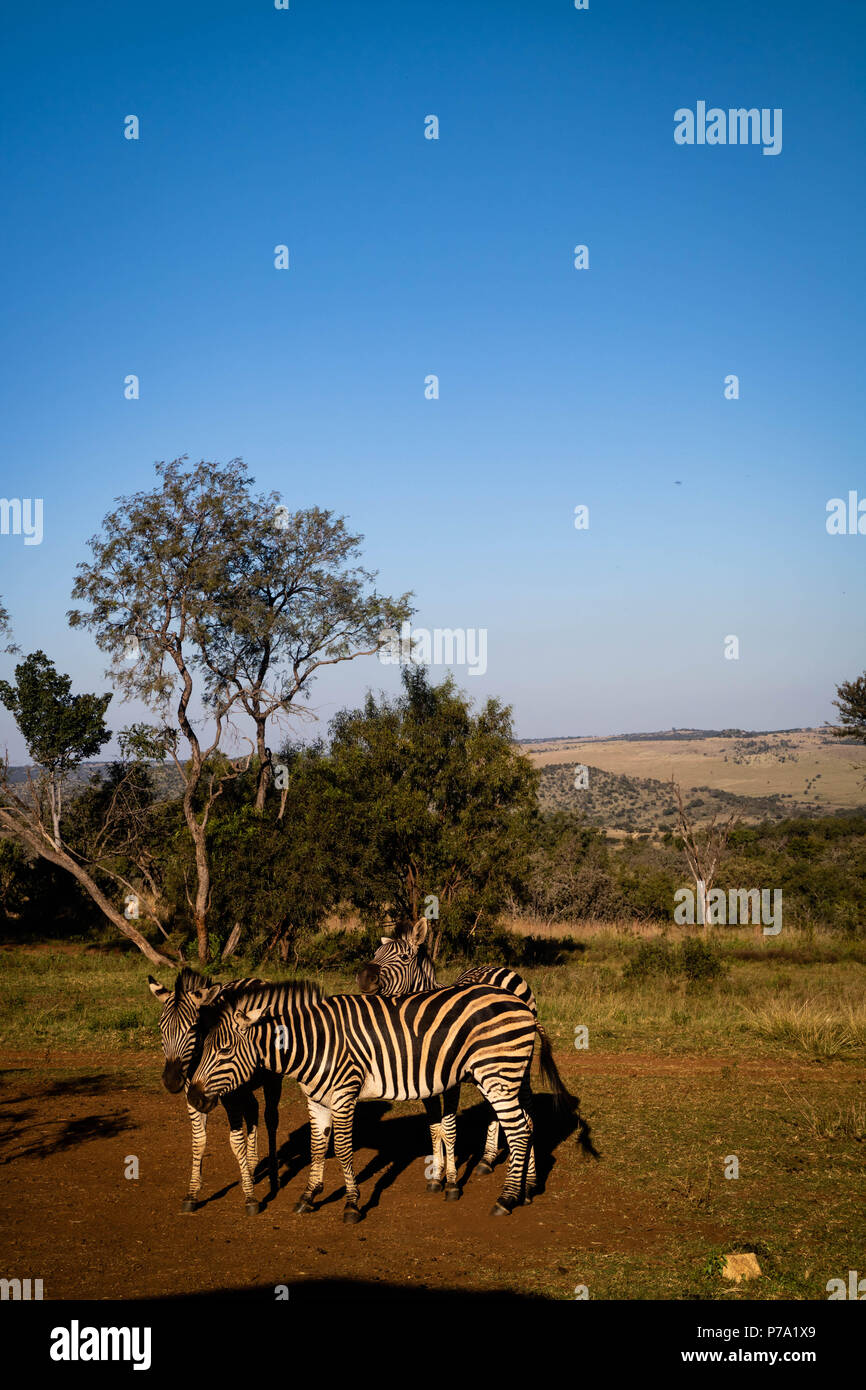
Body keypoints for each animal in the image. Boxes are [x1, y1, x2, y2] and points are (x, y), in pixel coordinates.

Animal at [147, 969, 283, 1215]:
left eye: (193, 1028)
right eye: (161, 1028)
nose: (171, 1081)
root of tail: (258, 980)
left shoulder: (230, 1097)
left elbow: (236, 1142)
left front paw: (250, 1198)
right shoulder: (193, 1096)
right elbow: (199, 1139)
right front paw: (192, 1193)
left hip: (270, 1080)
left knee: (270, 1118)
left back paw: (272, 1177)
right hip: (244, 1086)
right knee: (253, 1110)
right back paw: (251, 1166)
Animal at [187, 979, 576, 1222]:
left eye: (224, 1051)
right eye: (204, 1049)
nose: (192, 1095)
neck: (314, 1044)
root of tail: (523, 1007)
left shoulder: (345, 1093)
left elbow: (343, 1149)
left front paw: (351, 1204)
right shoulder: (316, 1099)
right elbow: (317, 1148)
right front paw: (309, 1196)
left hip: (497, 1074)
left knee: (519, 1131)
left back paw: (505, 1199)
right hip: (508, 1076)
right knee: (528, 1124)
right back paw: (526, 1190)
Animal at [356, 918, 538, 1179]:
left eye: (403, 957)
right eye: (375, 954)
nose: (363, 976)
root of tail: (496, 967)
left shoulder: (451, 1082)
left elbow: (449, 1127)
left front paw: (449, 1179)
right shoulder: (424, 1082)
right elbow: (435, 1127)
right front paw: (436, 1173)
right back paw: (487, 1159)